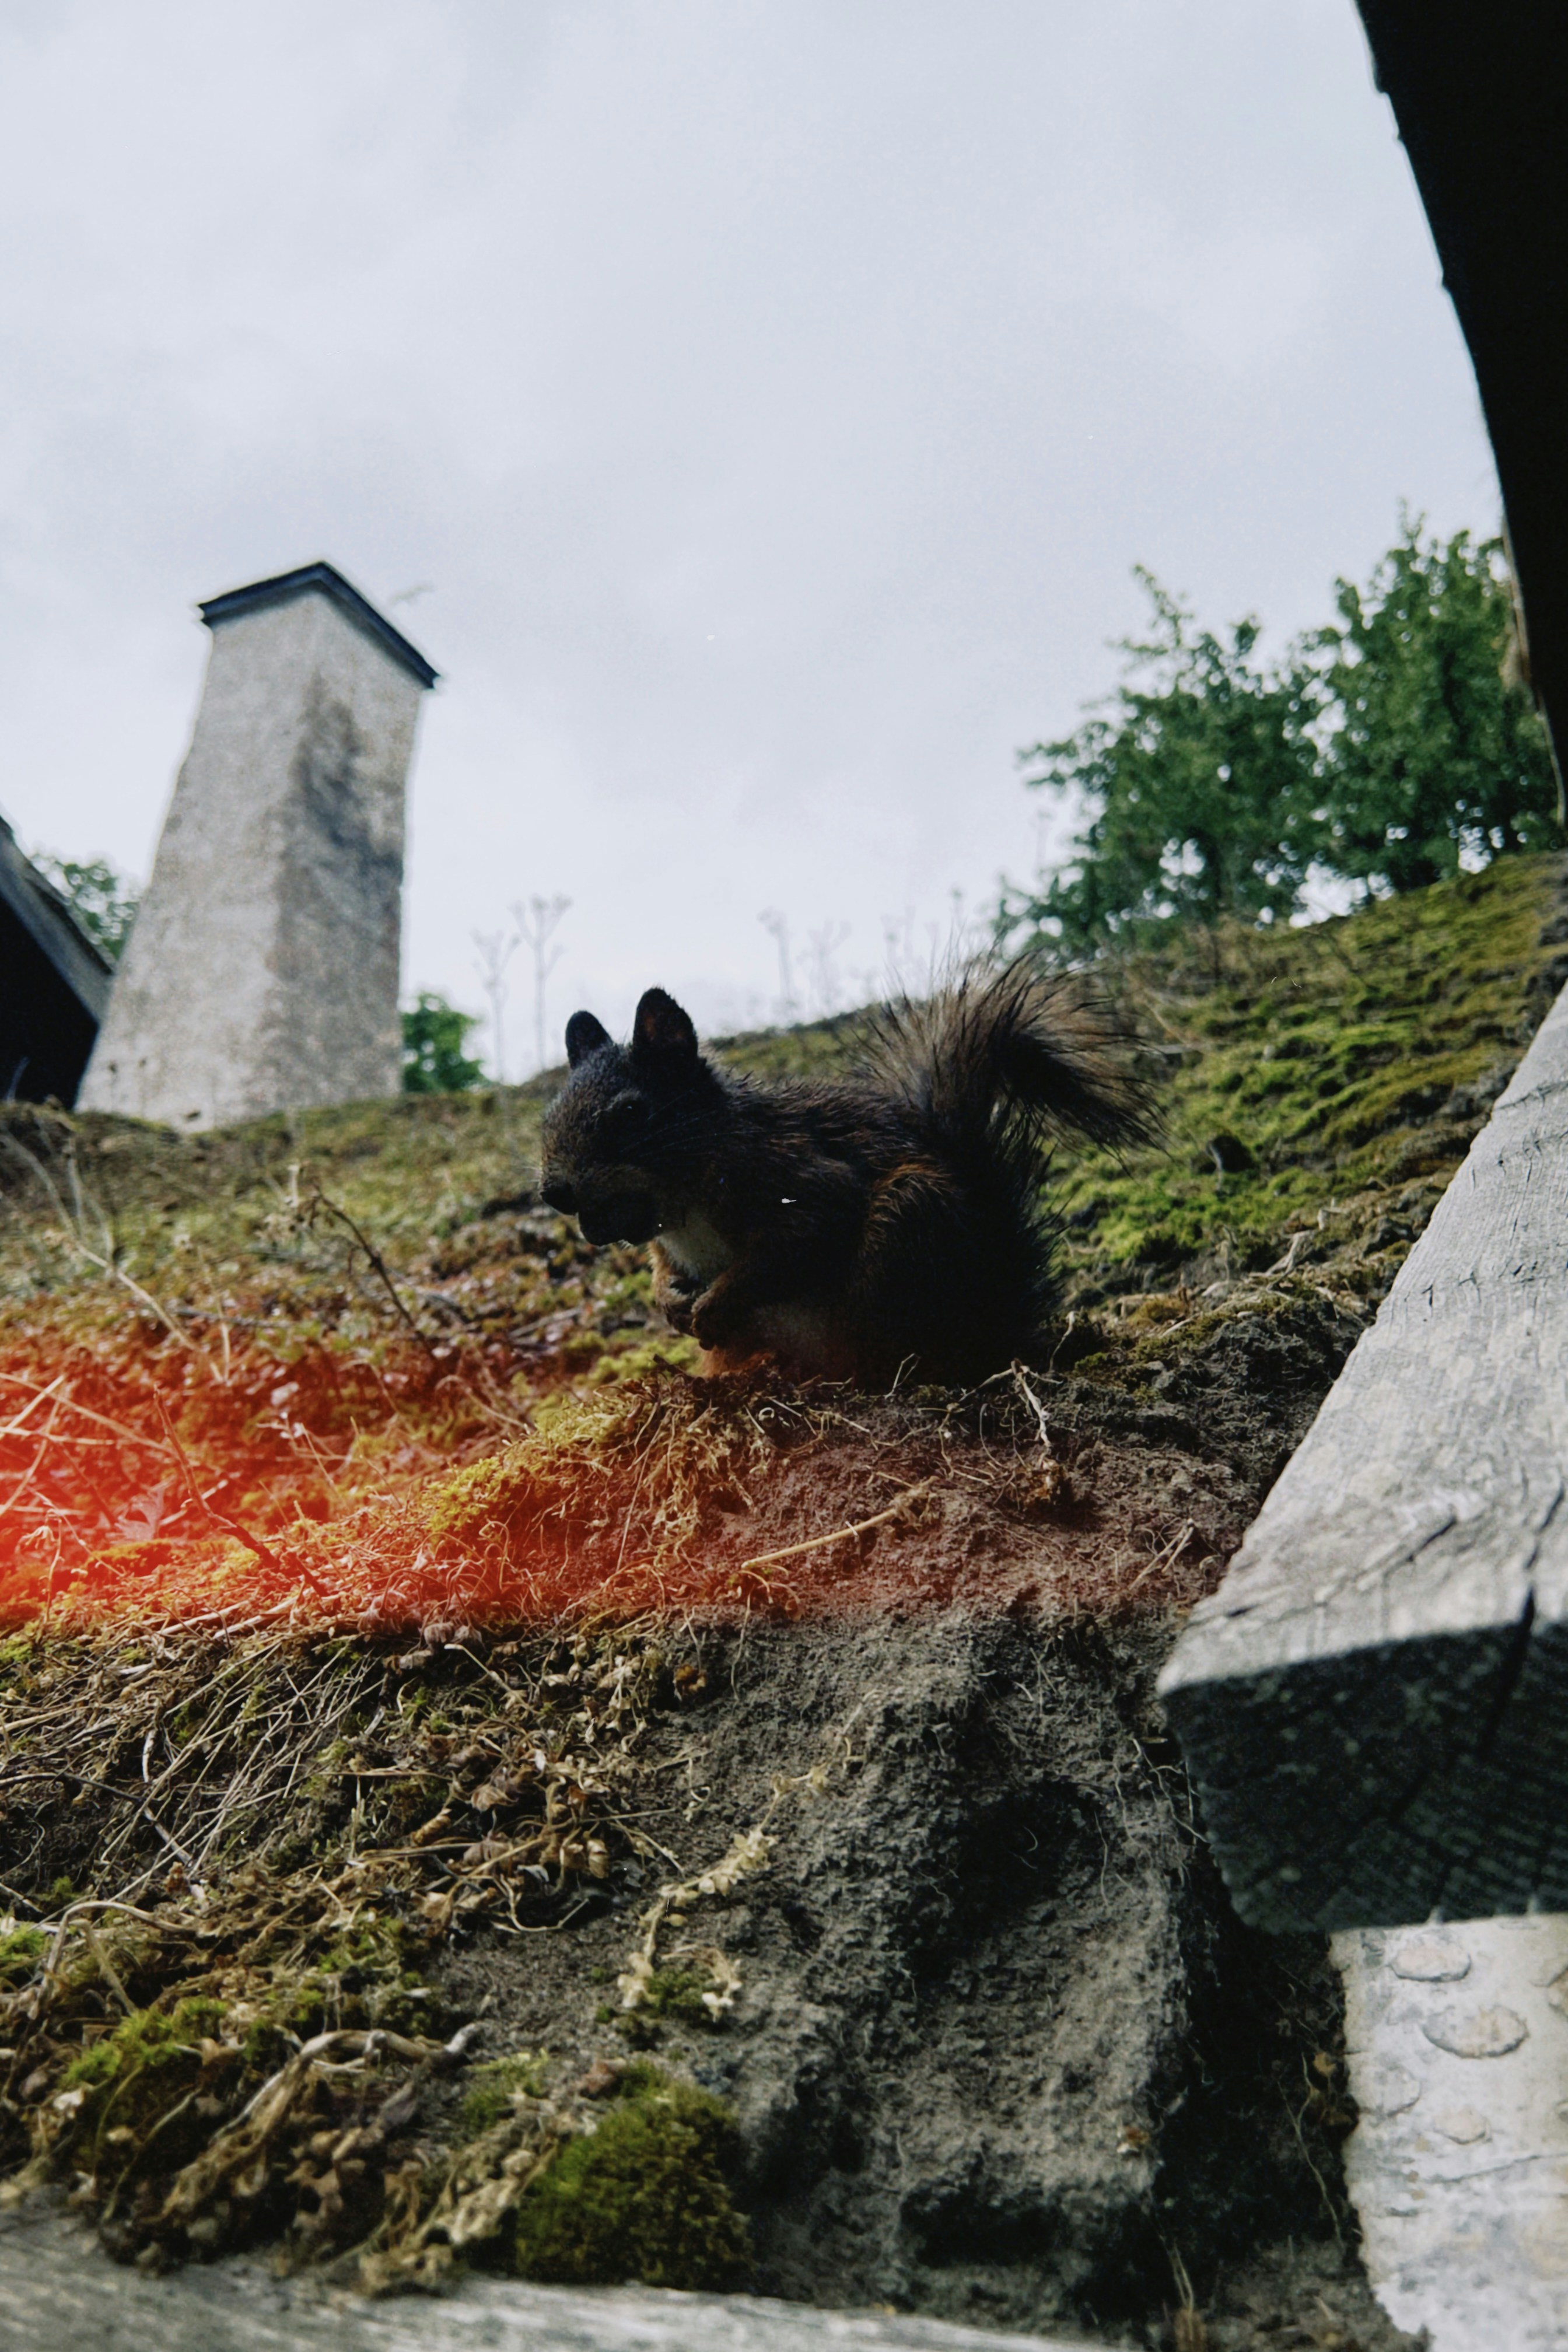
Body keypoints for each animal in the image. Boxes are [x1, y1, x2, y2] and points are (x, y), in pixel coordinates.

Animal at [538, 963, 1156, 1388]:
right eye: (550, 1113)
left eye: (630, 1112)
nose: (553, 1192)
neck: (681, 1208)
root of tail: (998, 1323)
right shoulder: (668, 1246)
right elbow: (662, 1271)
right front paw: (670, 1304)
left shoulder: (796, 1179)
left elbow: (791, 1248)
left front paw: (714, 1304)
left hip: (909, 1221)